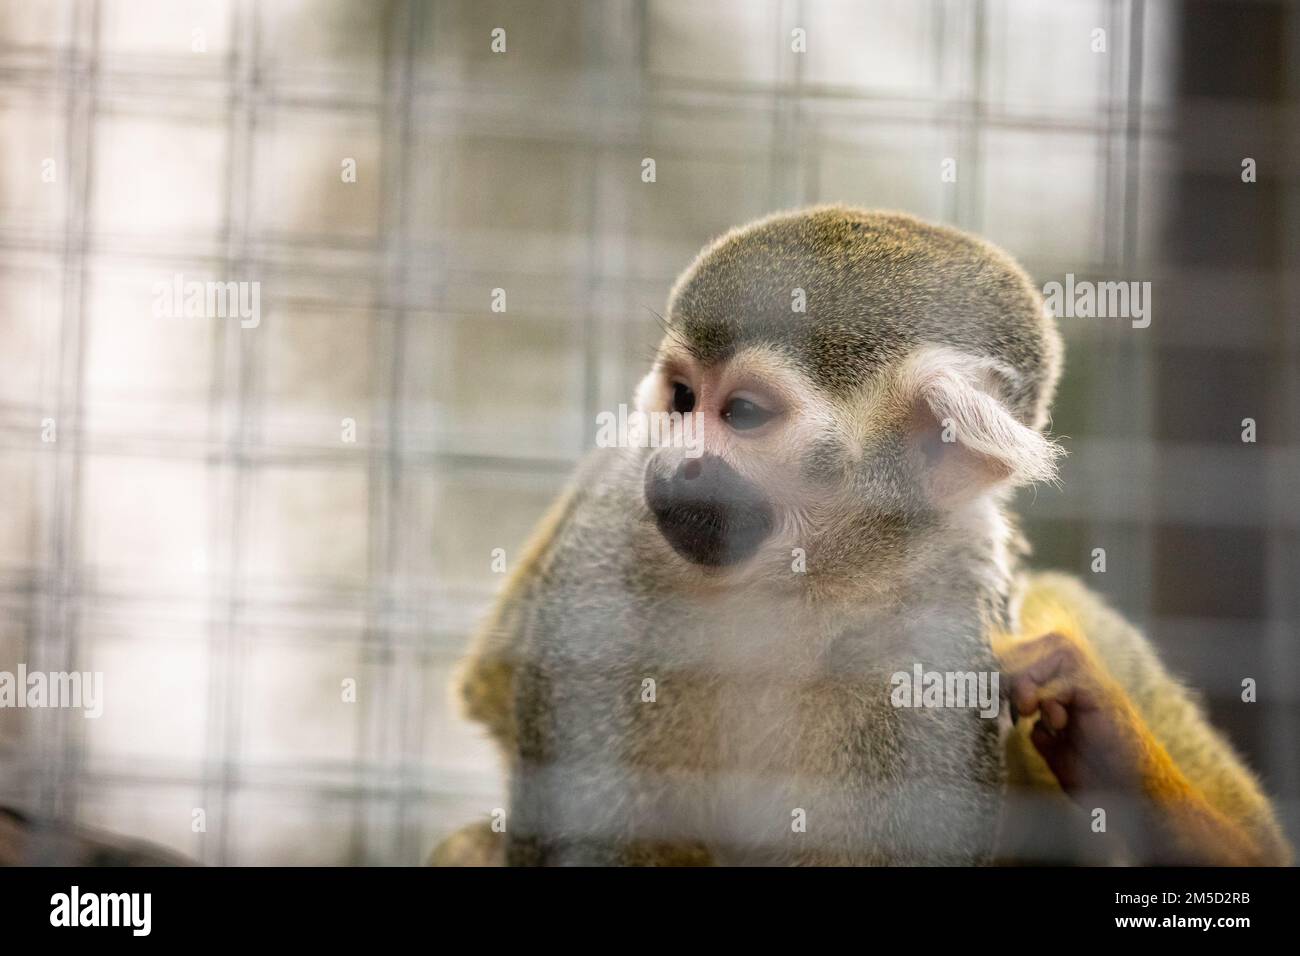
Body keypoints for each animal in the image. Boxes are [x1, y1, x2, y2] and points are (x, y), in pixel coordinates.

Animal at [431, 206, 1291, 867]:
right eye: (680, 400)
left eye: (743, 414)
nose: (674, 465)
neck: (796, 582)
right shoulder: (605, 549)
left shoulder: (943, 635)